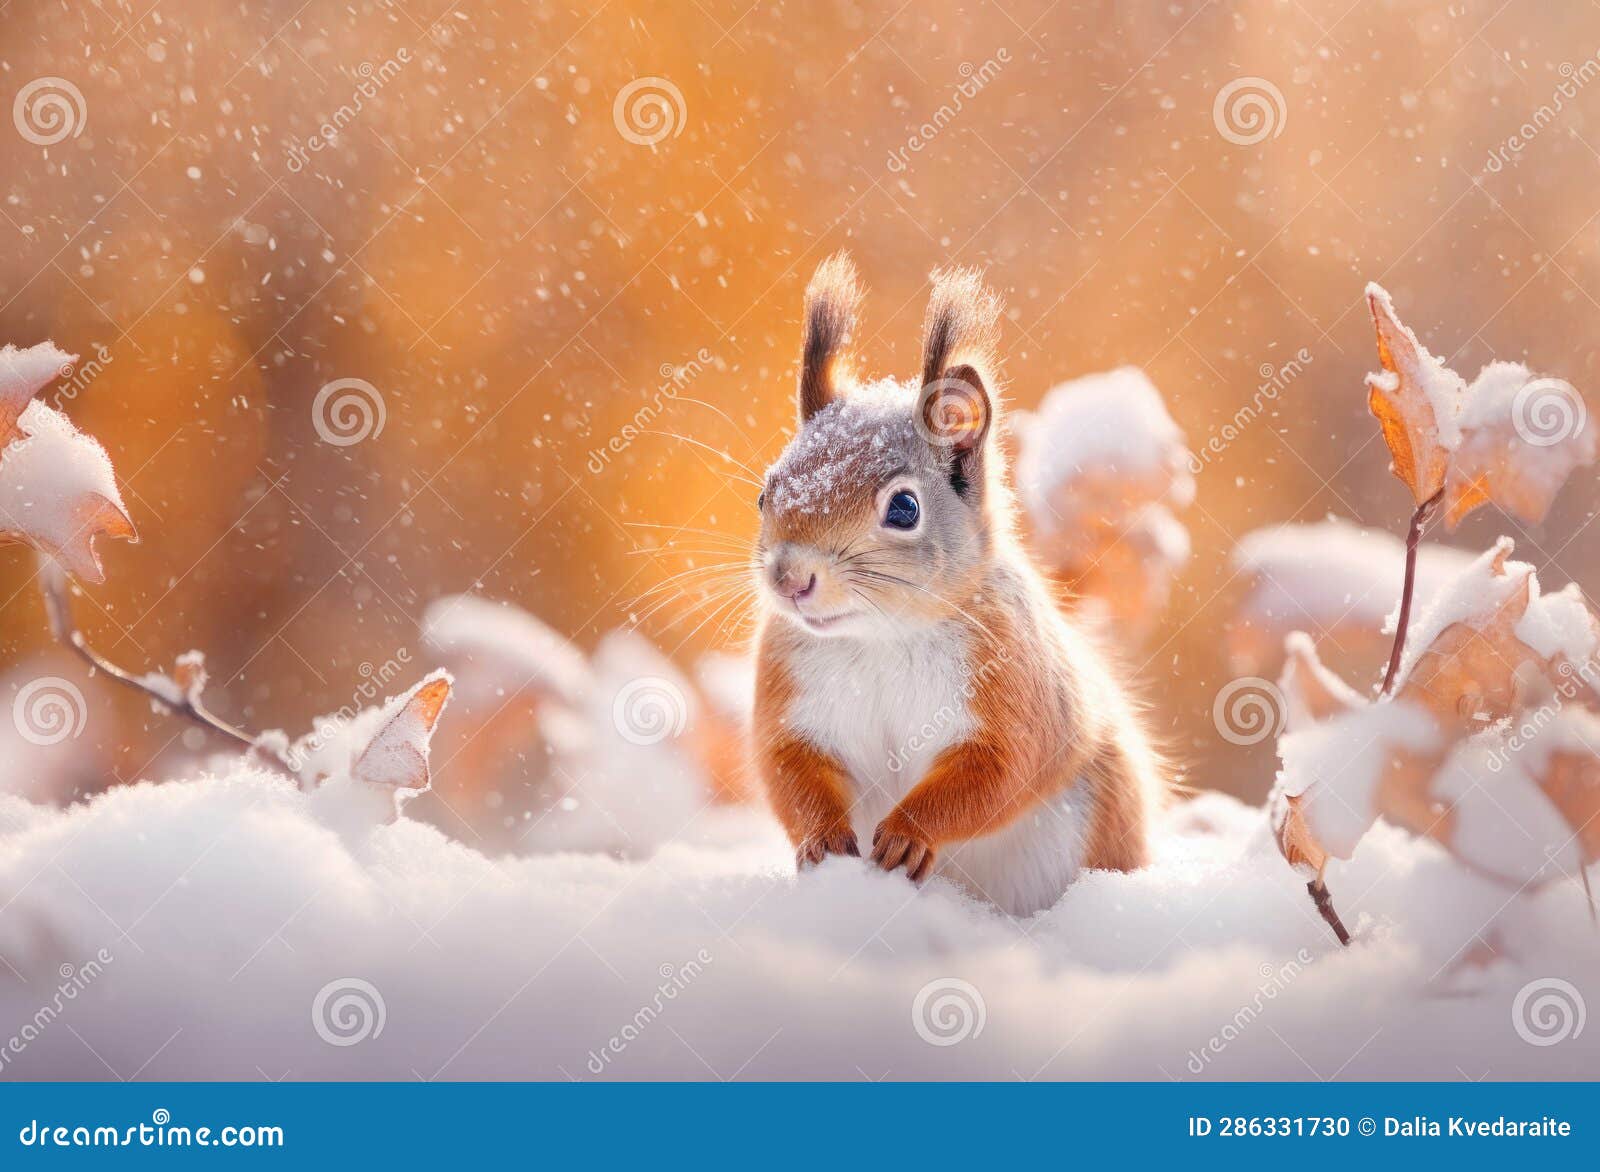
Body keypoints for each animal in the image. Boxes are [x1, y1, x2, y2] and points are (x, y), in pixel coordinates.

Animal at [751, 253, 1169, 916]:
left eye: (904, 509)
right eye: (764, 494)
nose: (790, 578)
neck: (880, 638)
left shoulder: (1014, 681)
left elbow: (1001, 769)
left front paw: (906, 834)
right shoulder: (788, 696)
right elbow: (788, 768)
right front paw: (822, 839)